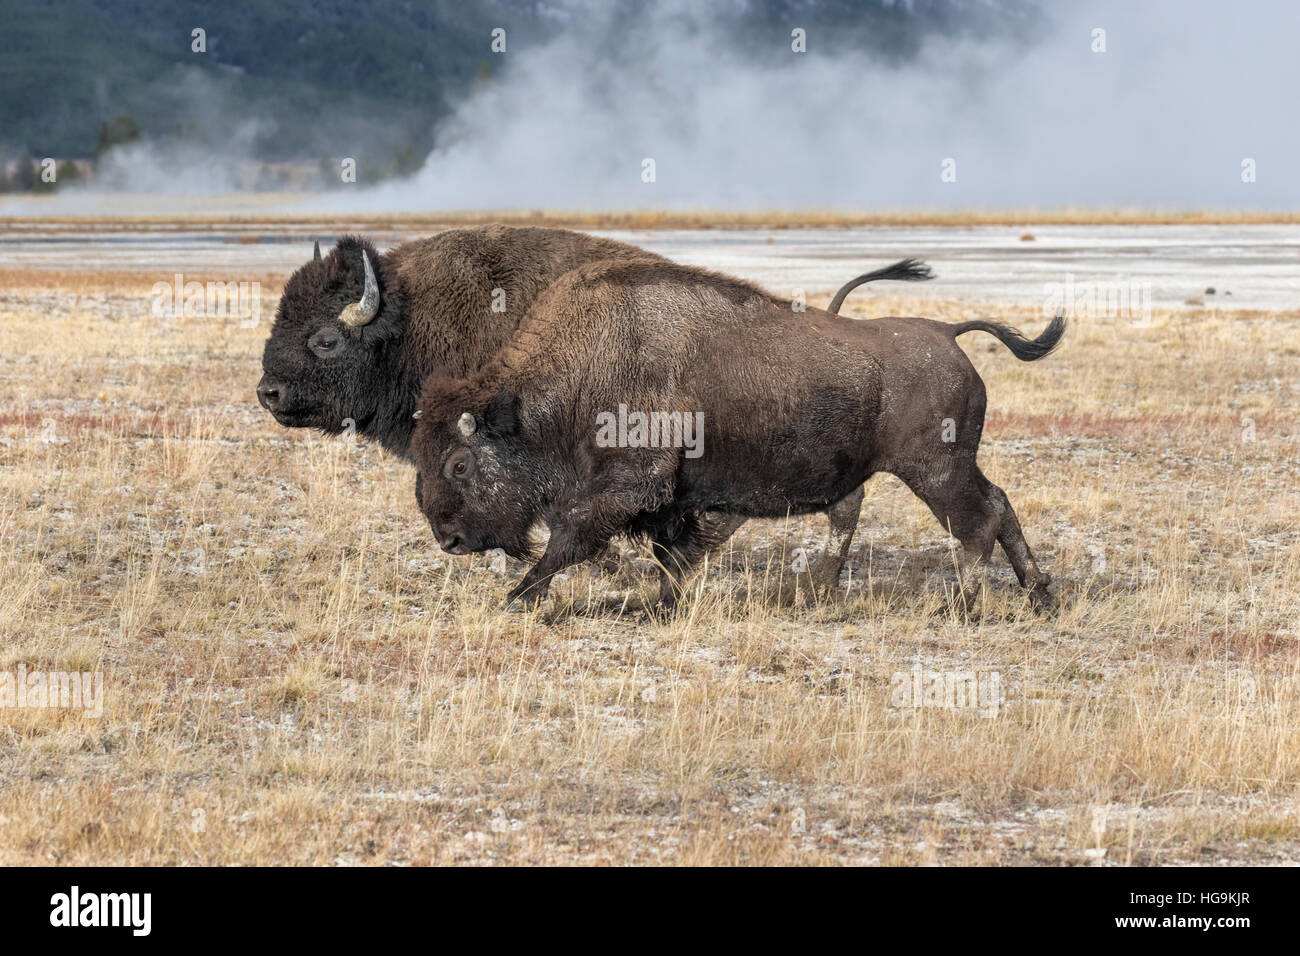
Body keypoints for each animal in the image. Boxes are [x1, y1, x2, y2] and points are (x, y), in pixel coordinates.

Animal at [411, 258, 1063, 613]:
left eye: (460, 464)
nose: (448, 538)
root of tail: (946, 332)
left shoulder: (627, 488)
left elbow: (571, 542)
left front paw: (518, 598)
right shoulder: (679, 500)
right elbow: (672, 553)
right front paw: (660, 601)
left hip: (934, 470)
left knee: (978, 520)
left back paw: (965, 606)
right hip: (948, 467)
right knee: (998, 504)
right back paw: (1040, 595)